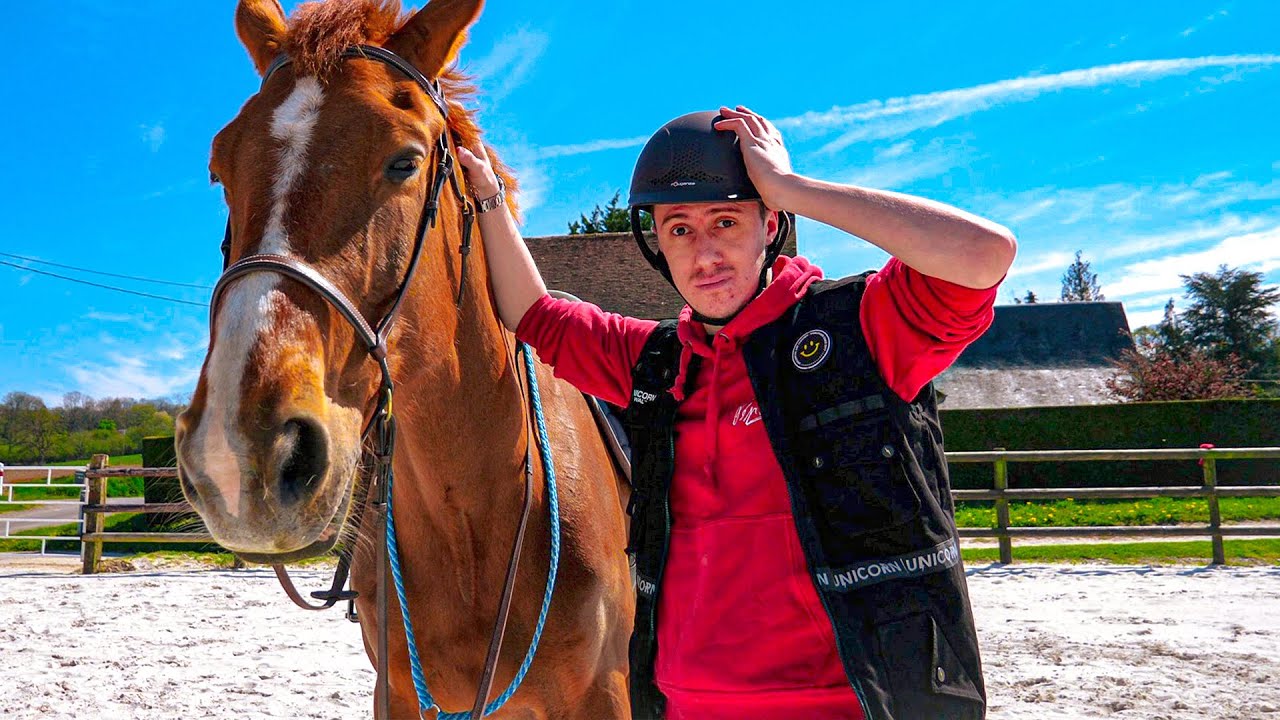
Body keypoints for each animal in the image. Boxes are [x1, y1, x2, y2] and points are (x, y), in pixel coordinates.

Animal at [173, 1, 633, 717]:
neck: (468, 519)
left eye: (405, 162)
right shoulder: (396, 691)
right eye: (221, 167)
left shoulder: (604, 695)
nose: (236, 453)